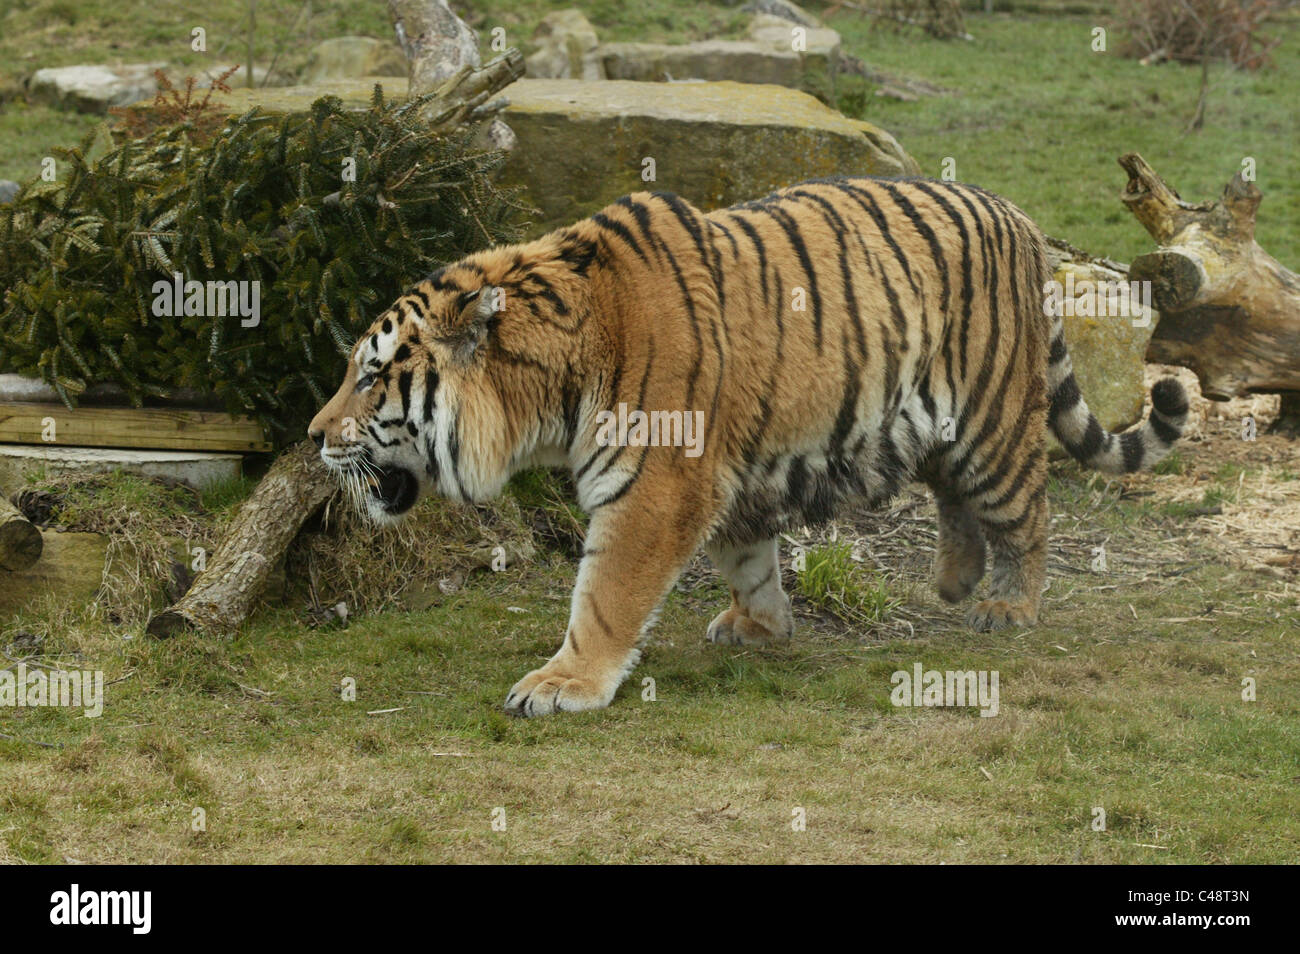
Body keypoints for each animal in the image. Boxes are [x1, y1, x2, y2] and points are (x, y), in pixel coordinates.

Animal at [307, 176, 1189, 717]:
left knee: (1028, 512)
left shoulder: (657, 486)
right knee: (949, 494)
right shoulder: (727, 472)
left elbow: (605, 594)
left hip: (991, 424)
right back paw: (952, 579)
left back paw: (1009, 604)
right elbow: (748, 555)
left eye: (372, 376)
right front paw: (762, 625)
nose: (314, 437)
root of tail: (1020, 218)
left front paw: (566, 683)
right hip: (936, 422)